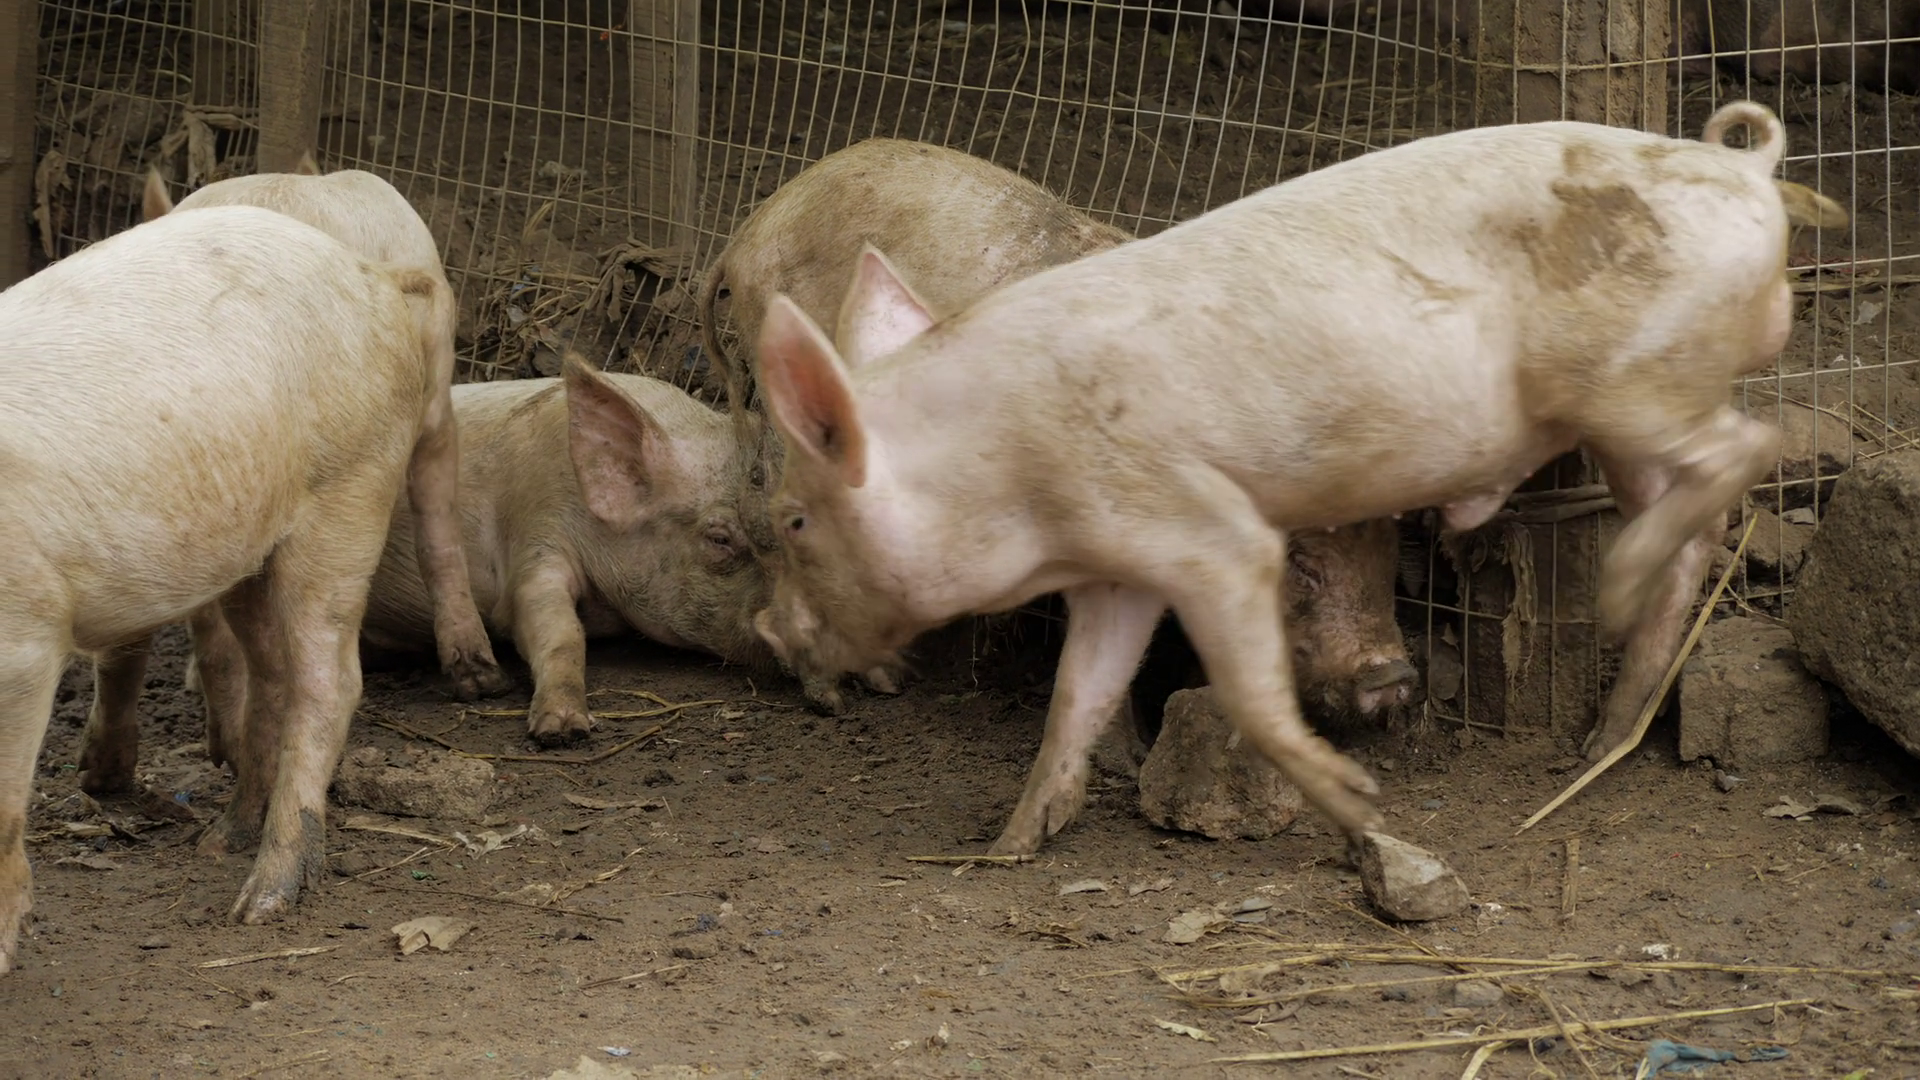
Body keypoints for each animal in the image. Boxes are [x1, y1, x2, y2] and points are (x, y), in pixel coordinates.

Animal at [1, 204, 466, 970]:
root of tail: (369, 273)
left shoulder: (26, 637)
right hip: (251, 548)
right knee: (270, 672)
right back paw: (219, 839)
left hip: (350, 485)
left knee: (328, 679)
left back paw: (262, 901)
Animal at [748, 100, 1848, 857]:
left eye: (792, 521)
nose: (765, 630)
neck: (1005, 463)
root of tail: (1747, 168)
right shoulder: (1116, 570)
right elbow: (1077, 693)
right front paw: (1008, 847)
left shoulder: (1207, 534)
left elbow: (1248, 689)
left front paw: (1363, 806)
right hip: (1624, 420)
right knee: (1695, 522)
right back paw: (1601, 732)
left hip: (1632, 381)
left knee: (1750, 447)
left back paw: (1614, 595)